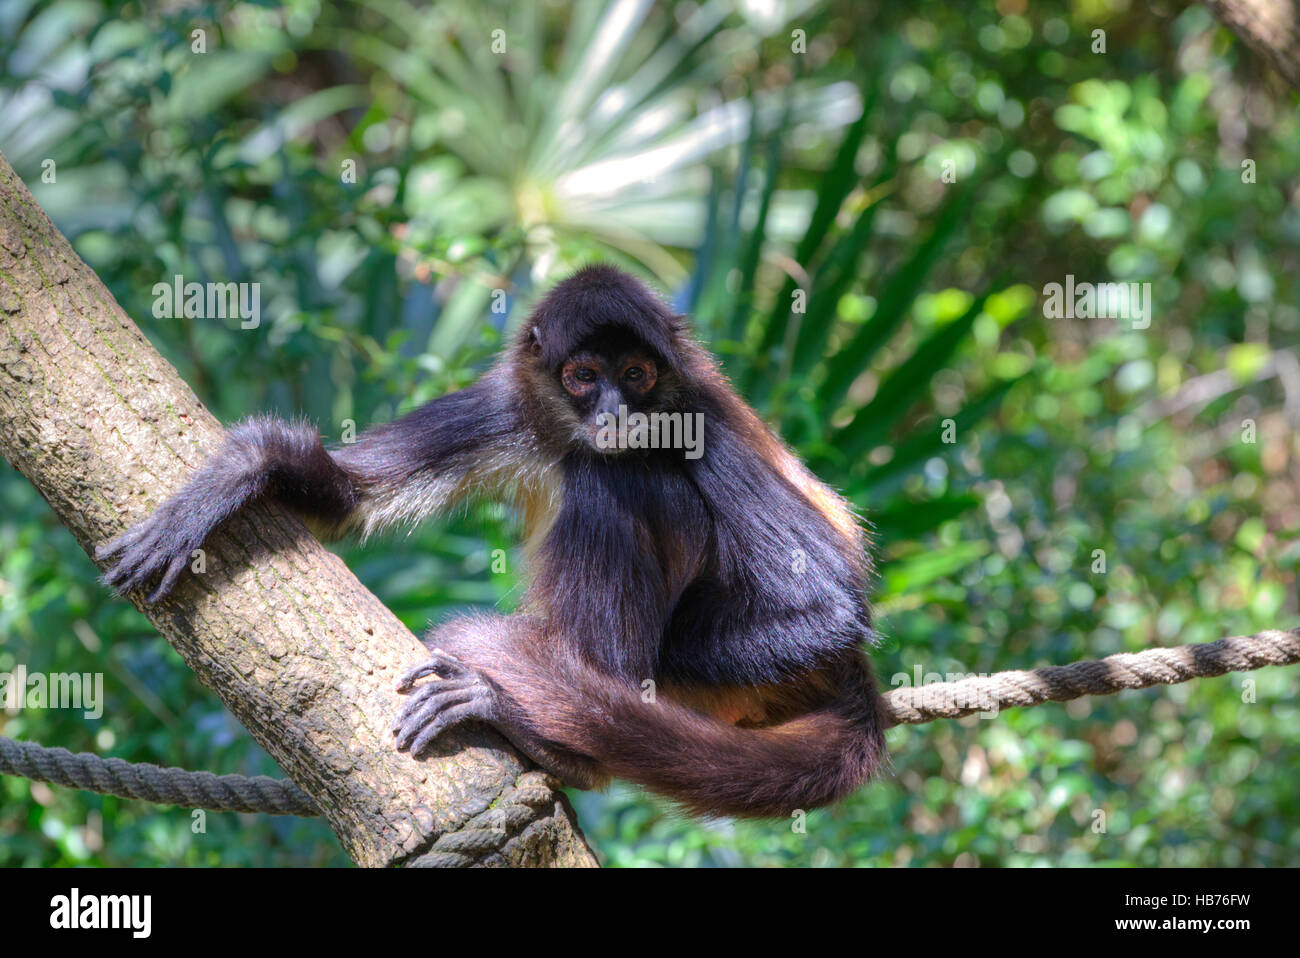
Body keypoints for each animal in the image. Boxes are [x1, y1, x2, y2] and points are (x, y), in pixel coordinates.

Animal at [97, 264, 888, 818]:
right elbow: (351, 497)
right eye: (583, 376)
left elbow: (830, 610)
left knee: (625, 478)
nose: (614, 413)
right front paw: (242, 469)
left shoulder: (699, 414)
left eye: (635, 375)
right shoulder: (510, 404)